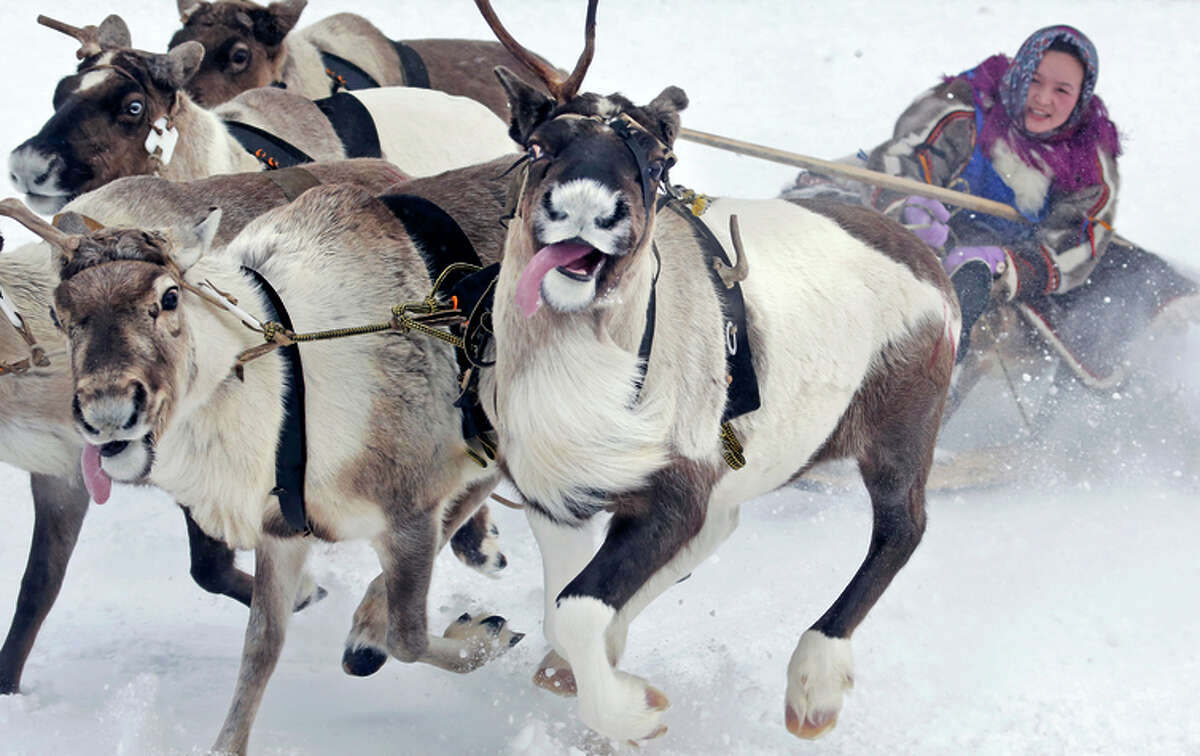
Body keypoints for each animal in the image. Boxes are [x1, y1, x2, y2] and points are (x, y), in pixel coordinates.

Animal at [1, 149, 528, 752]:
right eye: (59, 314)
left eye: (169, 296)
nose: (109, 412)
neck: (282, 393)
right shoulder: (282, 530)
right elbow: (259, 653)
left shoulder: (408, 512)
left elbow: (409, 637)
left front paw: (483, 637)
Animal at [473, 0, 960, 742]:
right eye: (537, 146)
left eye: (657, 159)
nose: (587, 209)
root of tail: (931, 258)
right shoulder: (554, 495)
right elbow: (563, 612)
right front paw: (590, 674)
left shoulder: (676, 490)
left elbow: (580, 612)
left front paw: (636, 709)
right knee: (724, 532)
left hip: (900, 432)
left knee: (902, 527)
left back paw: (814, 685)